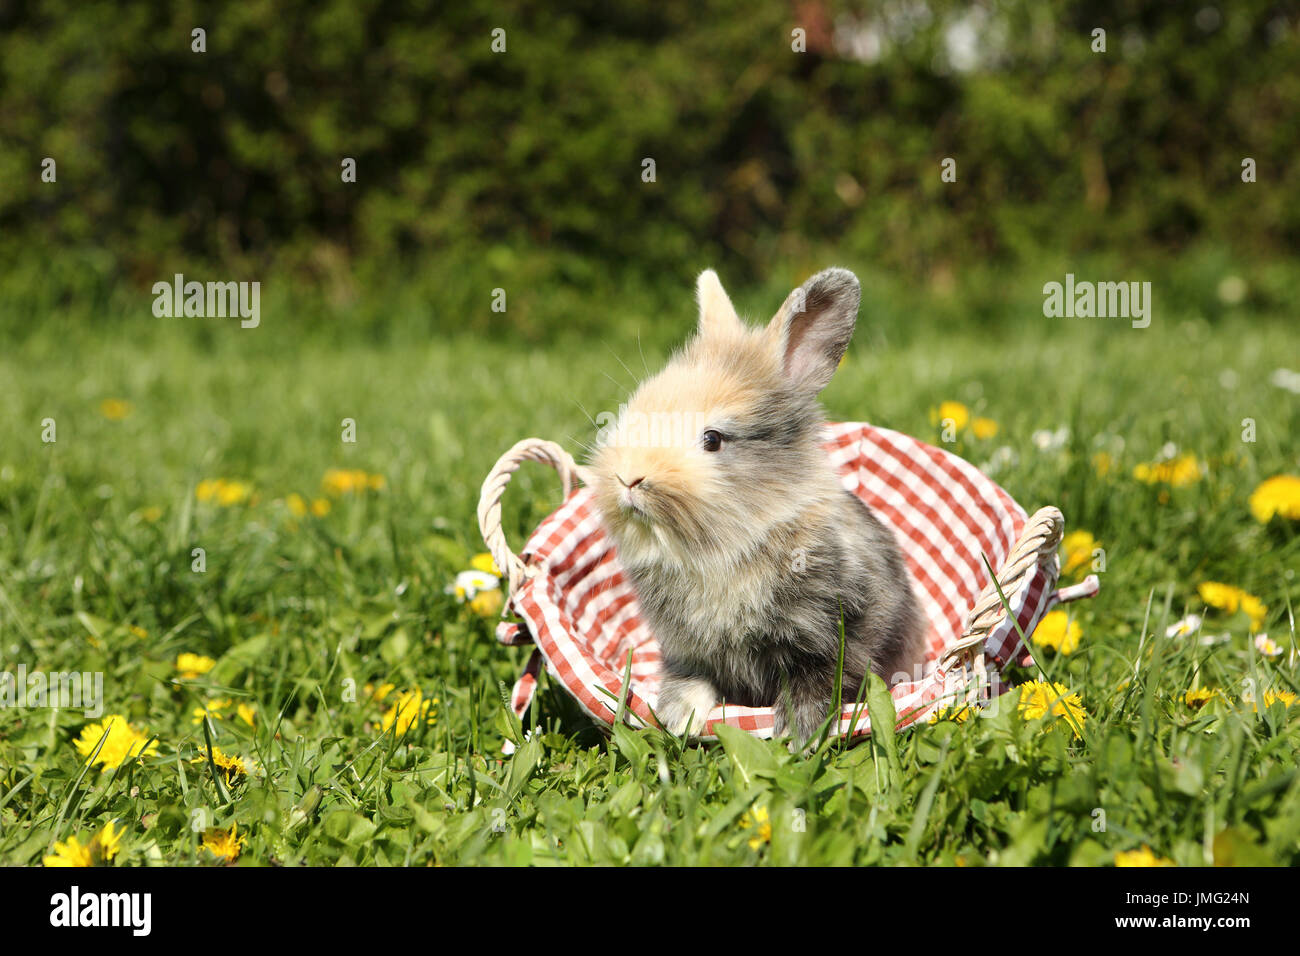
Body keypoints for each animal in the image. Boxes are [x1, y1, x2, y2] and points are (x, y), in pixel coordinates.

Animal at [589, 267, 927, 743]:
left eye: (713, 439)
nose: (628, 478)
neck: (722, 547)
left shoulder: (843, 631)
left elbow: (824, 675)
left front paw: (798, 733)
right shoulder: (686, 649)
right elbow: (690, 677)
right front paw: (678, 718)